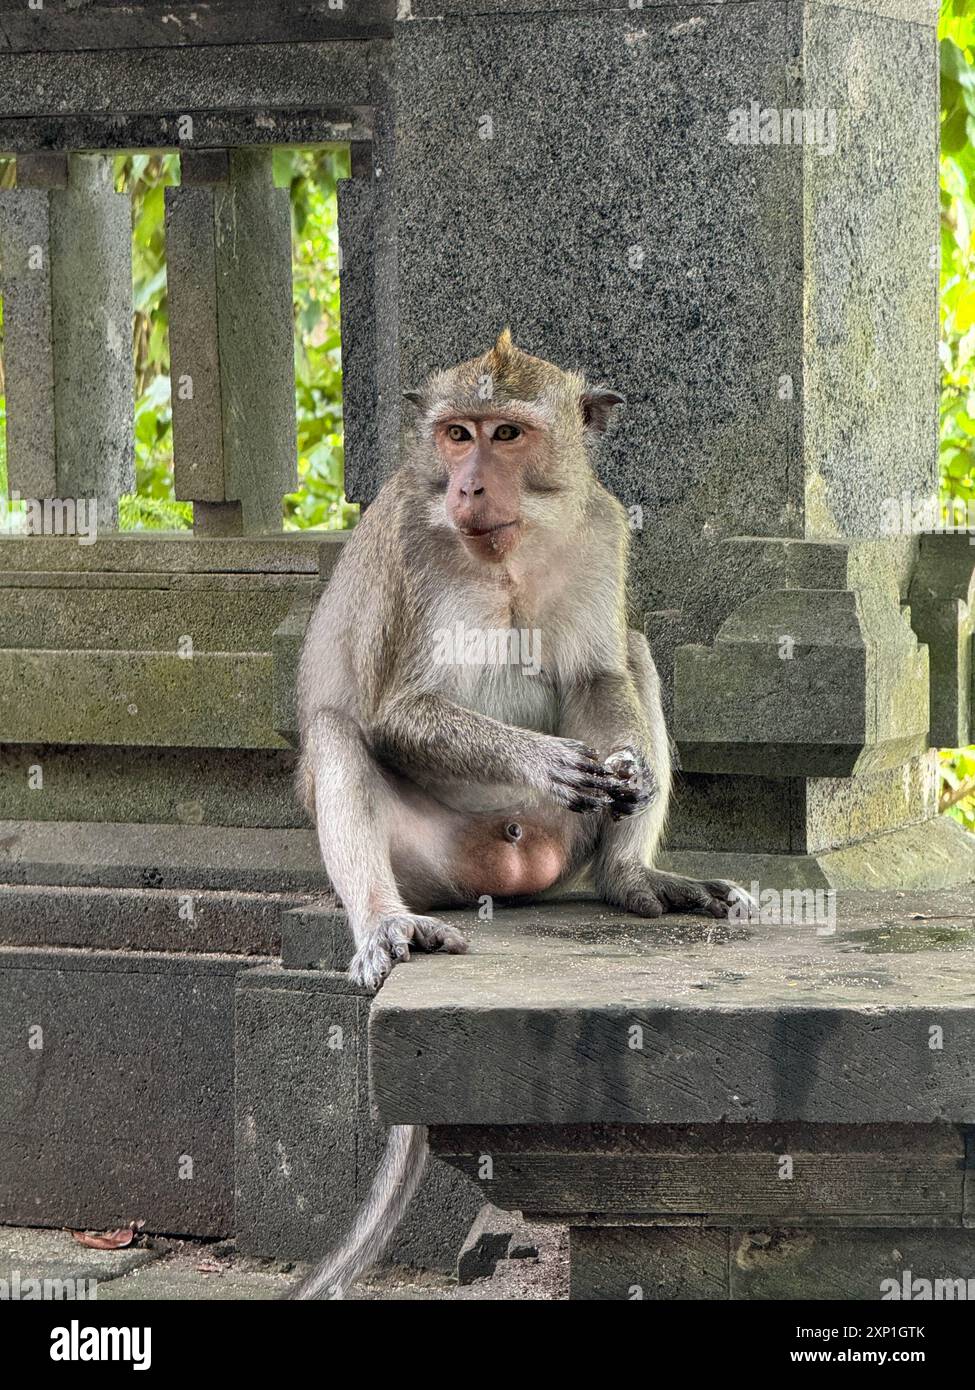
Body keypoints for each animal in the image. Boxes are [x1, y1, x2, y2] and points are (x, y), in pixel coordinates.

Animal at [288, 330, 750, 1299]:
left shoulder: (601, 528)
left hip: (565, 844)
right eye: (455, 434)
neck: (506, 545)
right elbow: (392, 713)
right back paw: (386, 923)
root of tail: (512, 867)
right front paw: (543, 760)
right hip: (430, 858)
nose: (466, 487)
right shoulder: (409, 544)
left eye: (506, 434)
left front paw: (626, 776)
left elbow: (602, 674)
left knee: (632, 651)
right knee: (341, 729)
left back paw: (634, 881)